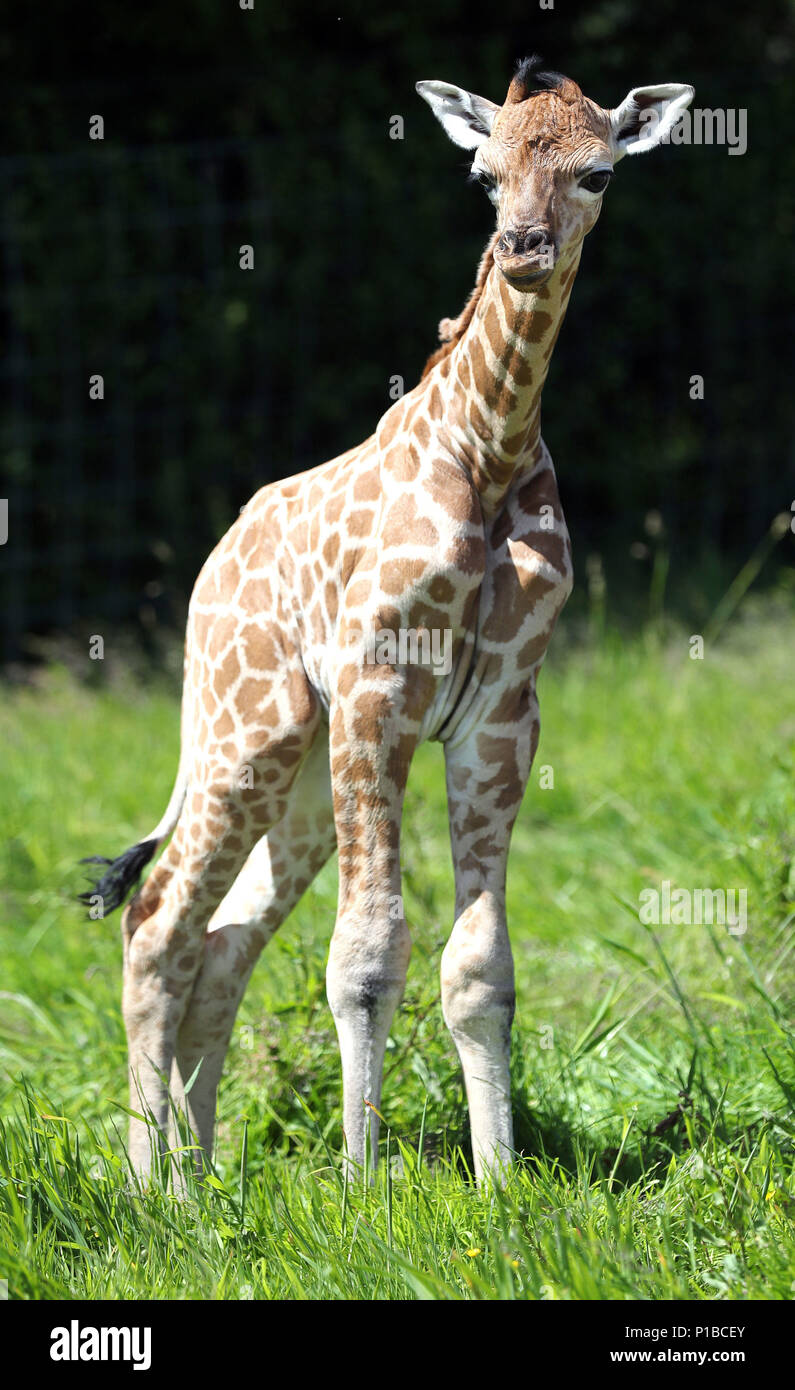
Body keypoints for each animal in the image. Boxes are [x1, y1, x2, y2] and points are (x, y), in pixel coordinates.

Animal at [81, 58, 693, 1185]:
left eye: (596, 173)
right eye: (484, 174)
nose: (523, 248)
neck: (486, 455)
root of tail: (207, 573)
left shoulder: (501, 711)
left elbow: (479, 966)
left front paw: (497, 1180)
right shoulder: (379, 686)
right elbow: (367, 956)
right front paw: (363, 1187)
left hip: (300, 783)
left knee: (221, 941)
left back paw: (202, 1181)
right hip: (249, 730)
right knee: (157, 921)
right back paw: (152, 1185)